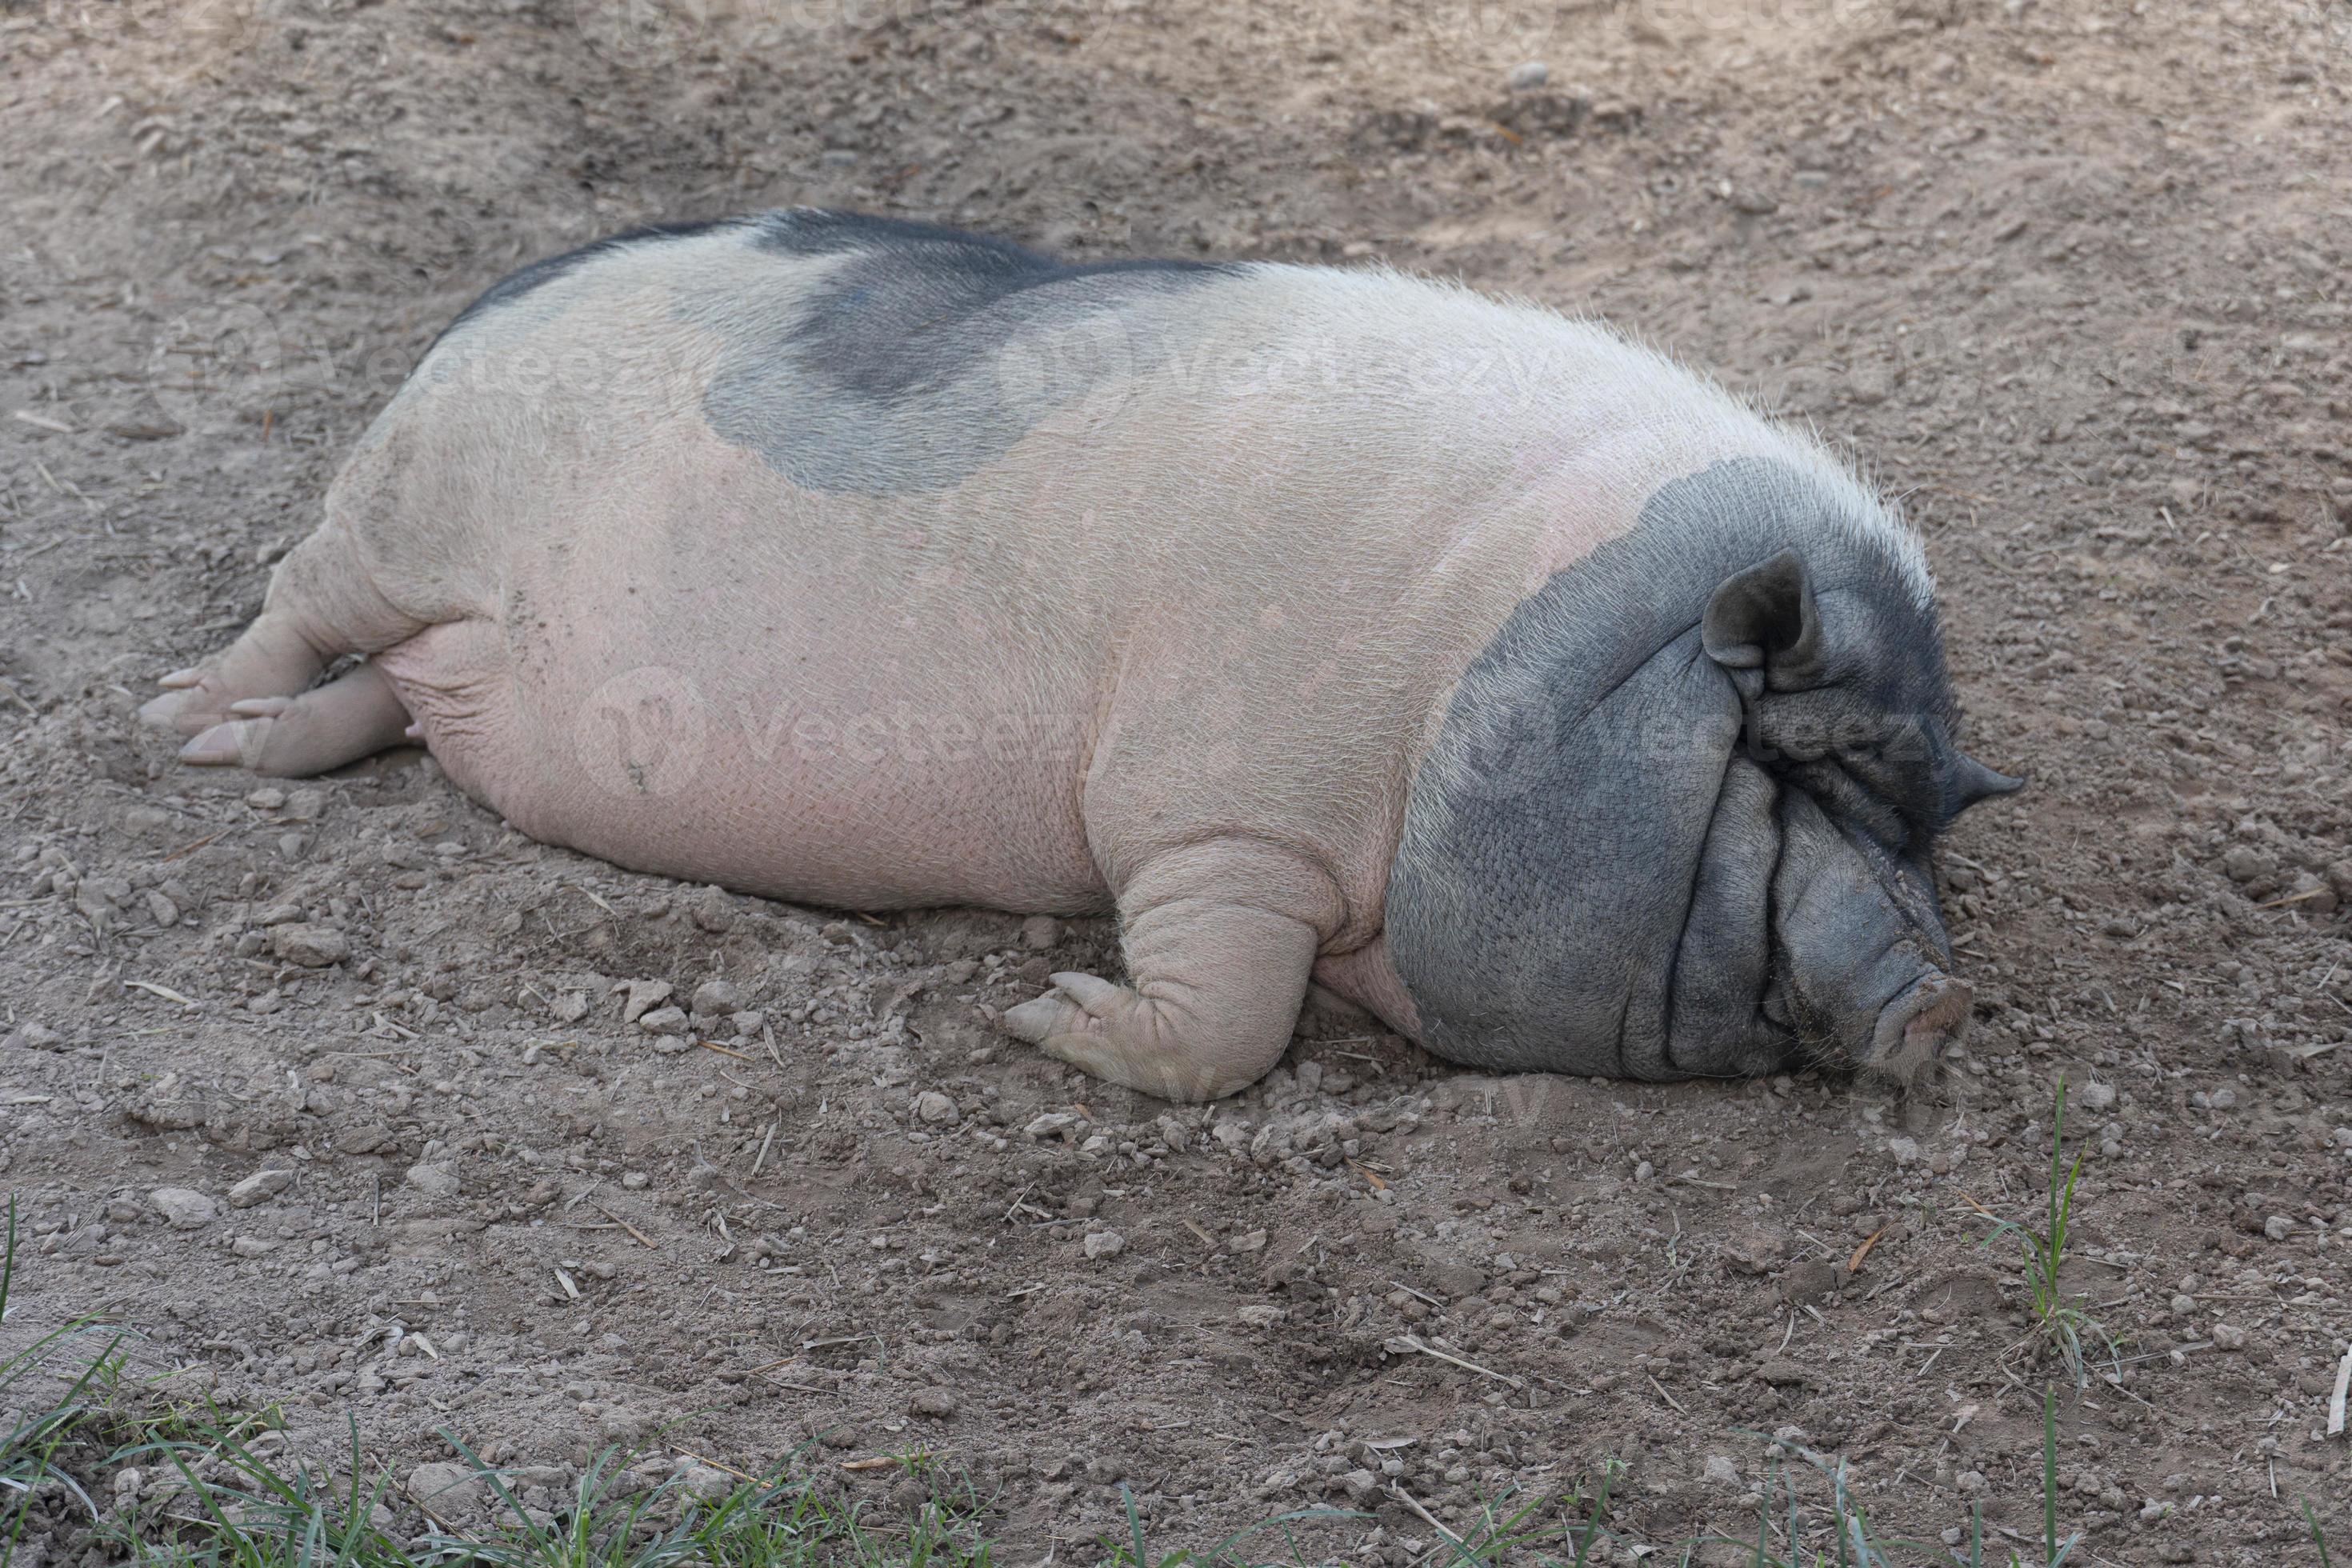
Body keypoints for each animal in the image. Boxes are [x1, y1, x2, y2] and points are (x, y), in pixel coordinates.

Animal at [142, 209, 2021, 1099]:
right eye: (1782, 766)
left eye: (1932, 812)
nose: (1943, 998)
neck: (1486, 674)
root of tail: (490, 298)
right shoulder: (1218, 802)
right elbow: (1228, 1015)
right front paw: (1047, 1016)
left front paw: (1049, 1011)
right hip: (401, 506)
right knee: (295, 608)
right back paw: (175, 726)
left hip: (441, 636)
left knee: (376, 703)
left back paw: (235, 749)